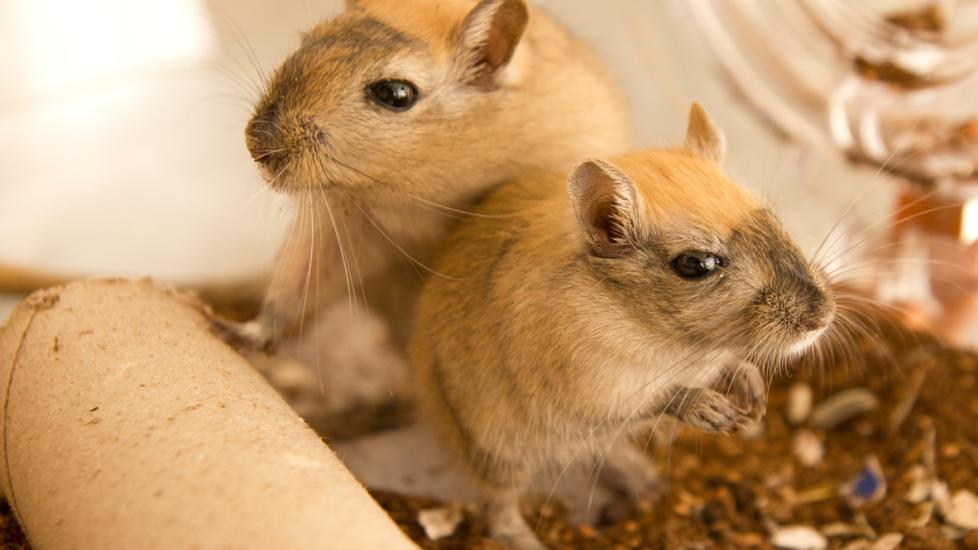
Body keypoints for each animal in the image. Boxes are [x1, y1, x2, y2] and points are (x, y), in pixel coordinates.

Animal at [219, 0, 631, 352]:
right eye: (306, 39)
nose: (254, 145)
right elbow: (295, 286)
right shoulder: (339, 223)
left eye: (396, 94)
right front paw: (236, 332)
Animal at [410, 104, 836, 549]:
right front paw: (718, 414)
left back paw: (651, 487)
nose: (824, 317)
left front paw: (753, 399)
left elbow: (734, 366)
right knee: (499, 507)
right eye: (696, 264)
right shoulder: (601, 392)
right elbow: (664, 397)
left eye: (772, 217)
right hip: (495, 453)